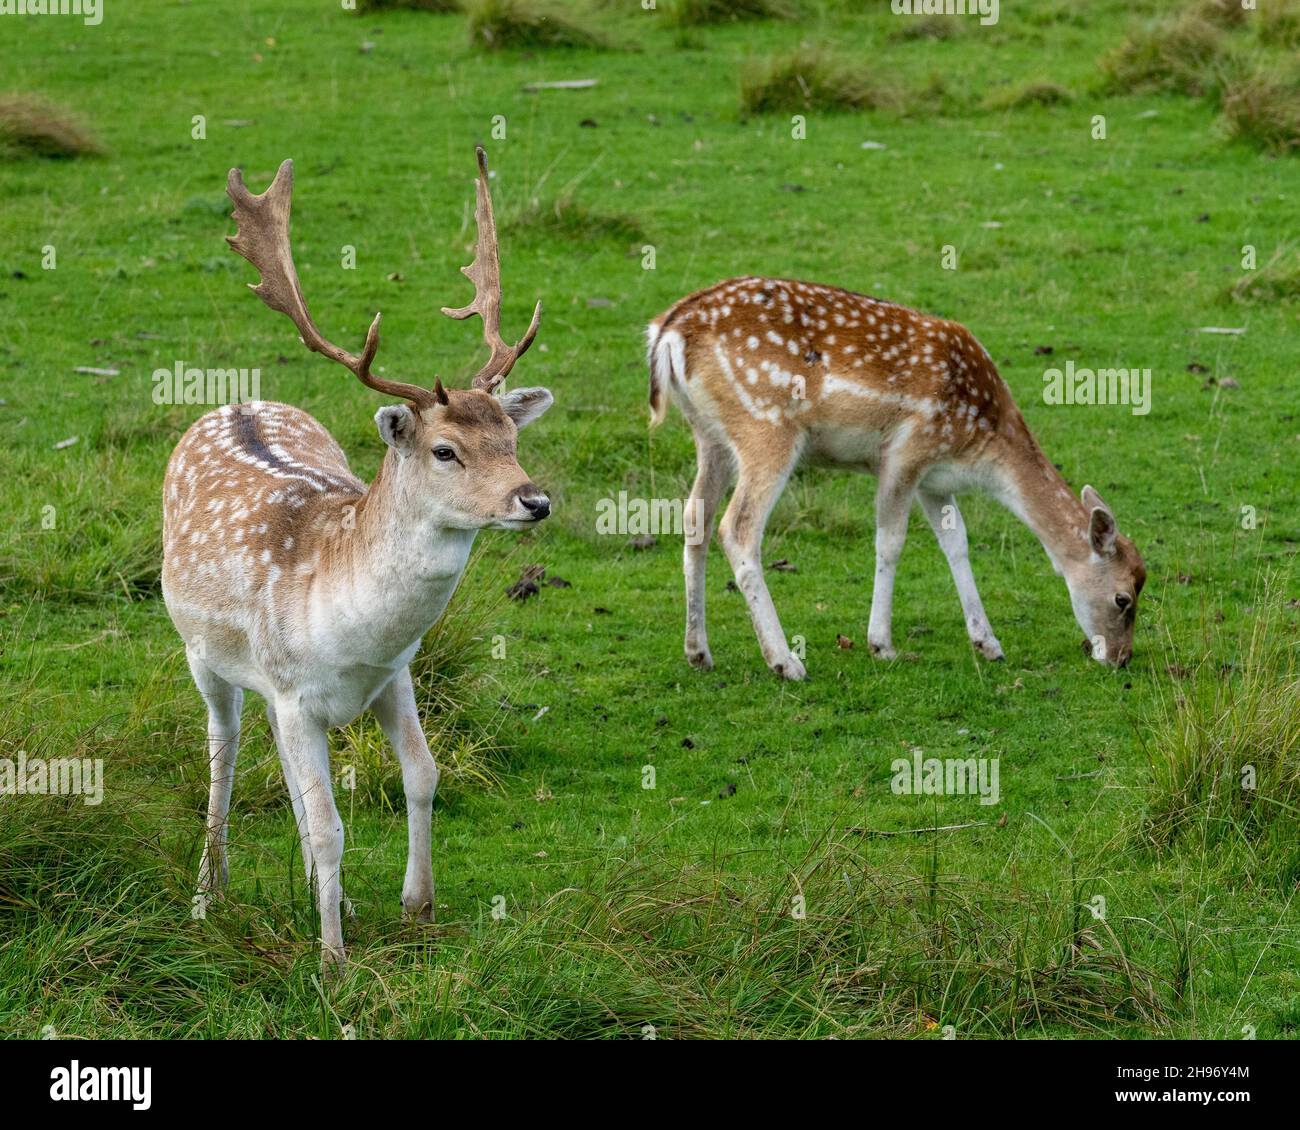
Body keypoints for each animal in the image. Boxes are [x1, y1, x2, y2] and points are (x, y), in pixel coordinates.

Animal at [162, 147, 553, 971]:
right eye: (446, 449)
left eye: (511, 435)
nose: (534, 501)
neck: (346, 631)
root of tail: (234, 400)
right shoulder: (290, 691)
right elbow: (328, 821)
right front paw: (332, 962)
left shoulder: (392, 673)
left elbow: (422, 775)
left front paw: (417, 908)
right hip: (203, 656)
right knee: (223, 750)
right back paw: (208, 895)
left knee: (282, 773)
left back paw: (323, 896)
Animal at [647, 277, 1145, 680]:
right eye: (1123, 598)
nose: (1121, 660)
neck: (980, 447)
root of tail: (667, 334)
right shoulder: (905, 453)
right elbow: (890, 541)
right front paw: (881, 644)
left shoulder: (934, 478)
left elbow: (956, 542)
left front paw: (988, 644)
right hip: (765, 426)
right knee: (738, 527)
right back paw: (785, 661)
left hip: (709, 436)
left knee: (694, 520)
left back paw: (699, 653)